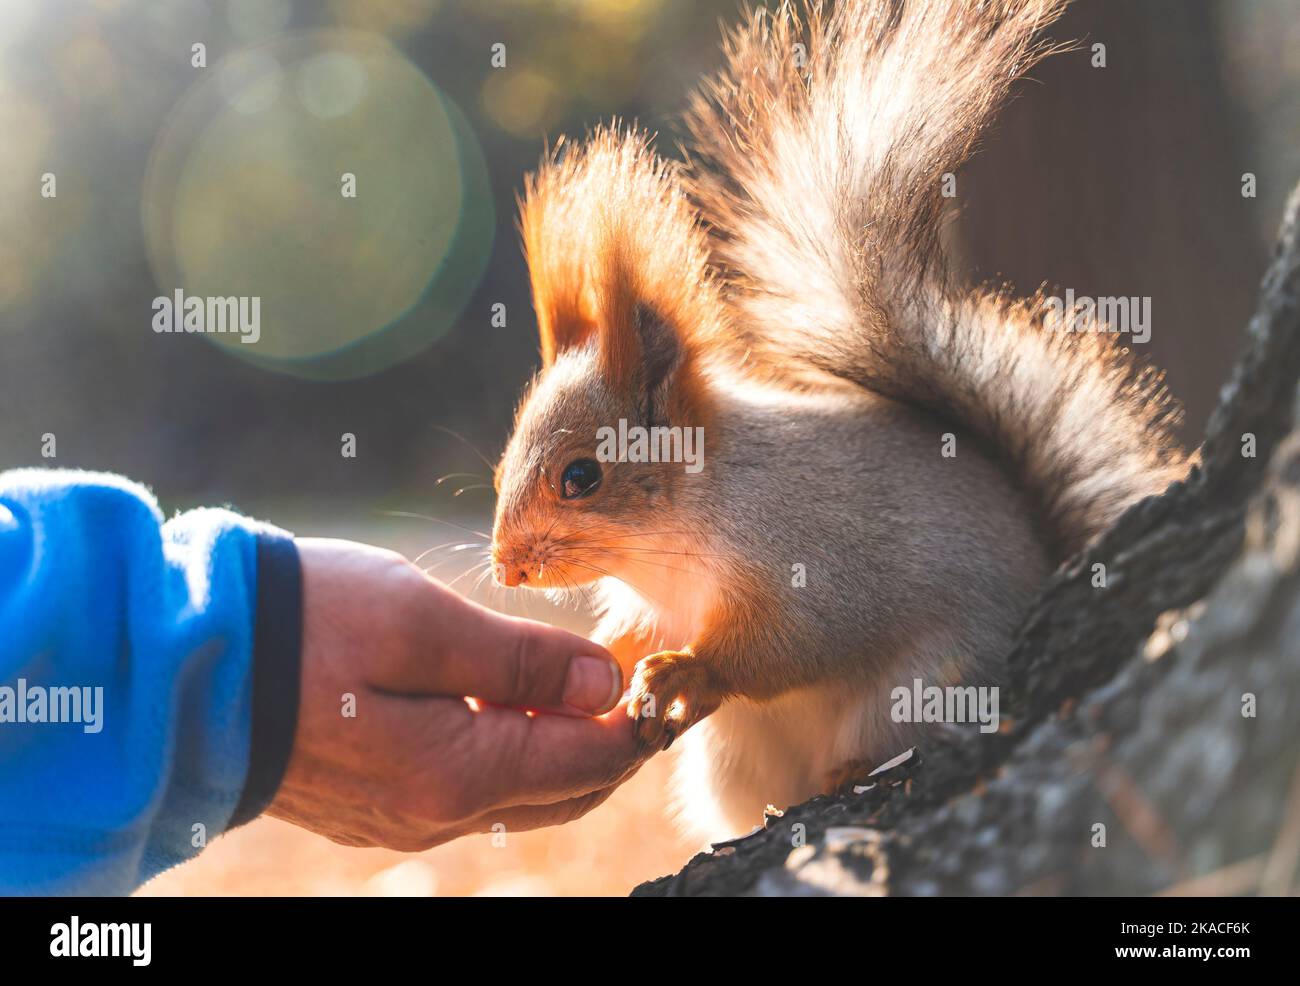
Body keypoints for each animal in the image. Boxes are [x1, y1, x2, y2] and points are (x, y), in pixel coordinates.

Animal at [489, 0, 1189, 840]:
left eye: (581, 477)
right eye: (499, 471)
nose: (506, 570)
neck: (677, 536)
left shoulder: (812, 556)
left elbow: (792, 643)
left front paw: (688, 667)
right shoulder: (661, 601)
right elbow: (640, 631)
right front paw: (614, 655)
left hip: (927, 681)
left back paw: (850, 771)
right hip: (730, 762)